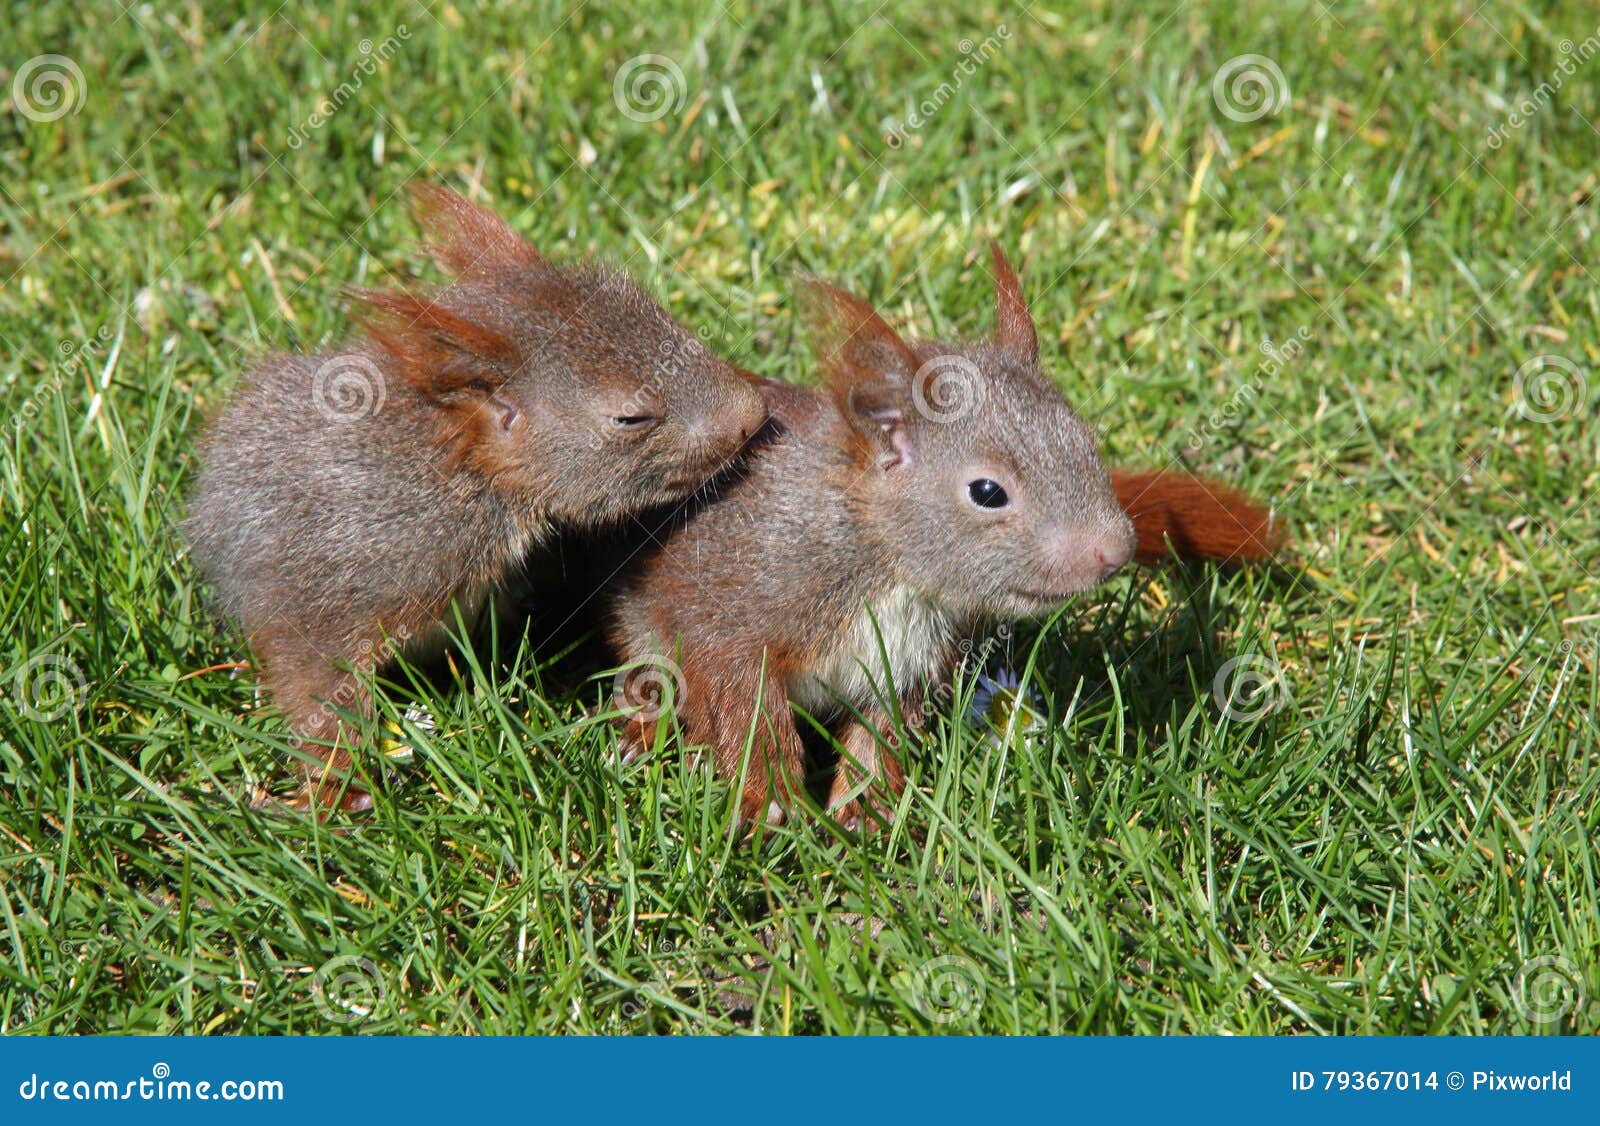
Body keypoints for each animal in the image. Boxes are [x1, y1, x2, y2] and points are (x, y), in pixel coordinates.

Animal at [186, 184, 768, 811]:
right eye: (630, 417)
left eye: (664, 316)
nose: (753, 414)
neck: (462, 471)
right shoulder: (331, 578)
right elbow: (314, 683)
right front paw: (337, 785)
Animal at [605, 246, 1279, 832]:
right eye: (987, 491)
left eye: (1089, 445)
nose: (1115, 550)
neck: (888, 565)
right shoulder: (735, 601)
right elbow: (740, 699)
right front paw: (771, 798)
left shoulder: (905, 660)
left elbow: (880, 731)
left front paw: (866, 809)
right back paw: (644, 733)